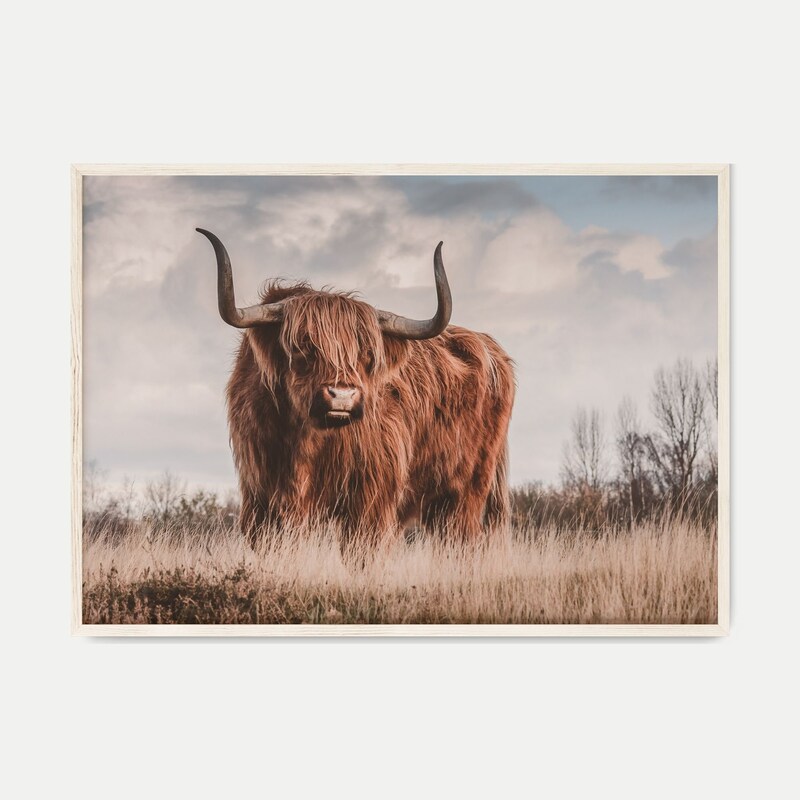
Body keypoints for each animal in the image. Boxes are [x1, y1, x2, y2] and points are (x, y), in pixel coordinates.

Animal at [197, 228, 515, 546]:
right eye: (302, 347)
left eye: (367, 354)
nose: (342, 396)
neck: (305, 442)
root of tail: (491, 348)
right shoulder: (260, 497)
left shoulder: (371, 499)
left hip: (466, 493)